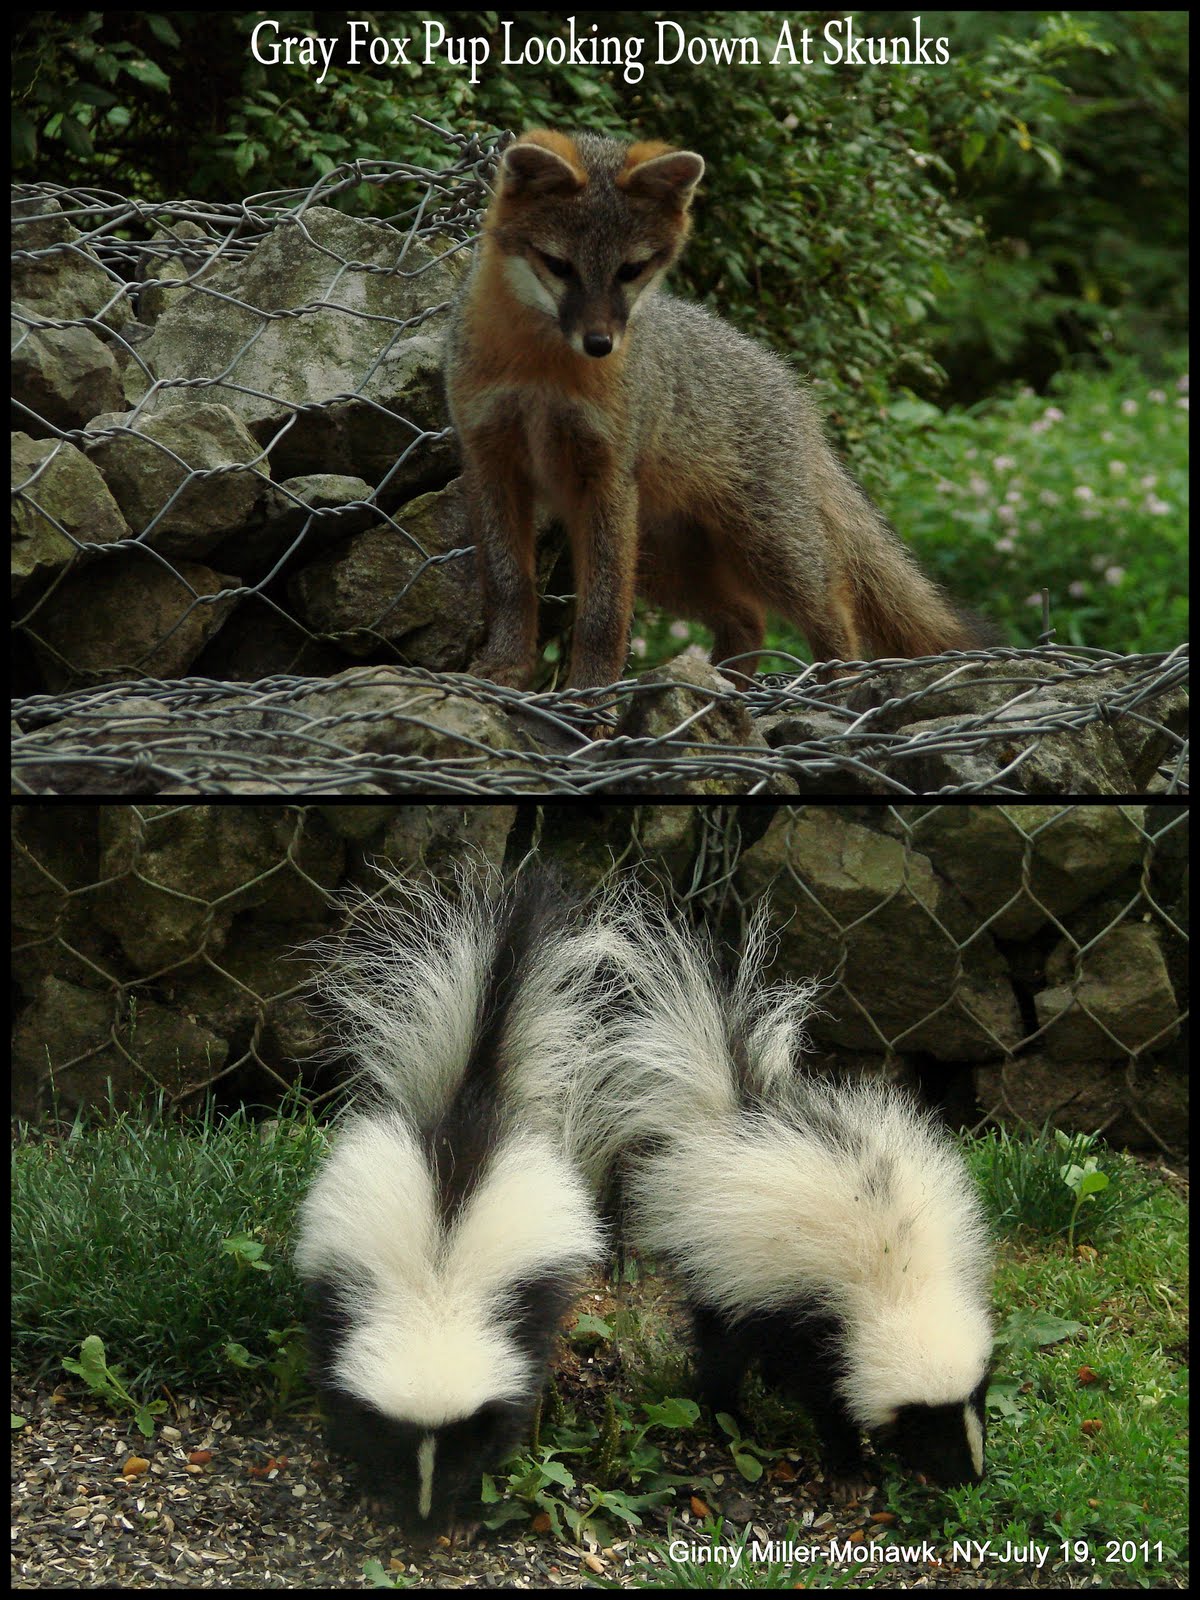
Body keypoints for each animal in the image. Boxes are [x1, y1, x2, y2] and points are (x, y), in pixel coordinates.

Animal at [444, 128, 988, 691]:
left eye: (630, 271)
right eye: (559, 266)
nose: (600, 344)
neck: (541, 373)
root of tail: (791, 386)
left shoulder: (606, 477)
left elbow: (602, 615)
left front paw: (591, 692)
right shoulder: (491, 462)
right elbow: (508, 585)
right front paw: (504, 667)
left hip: (766, 549)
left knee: (833, 609)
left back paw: (833, 682)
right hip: (665, 562)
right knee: (748, 620)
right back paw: (727, 686)